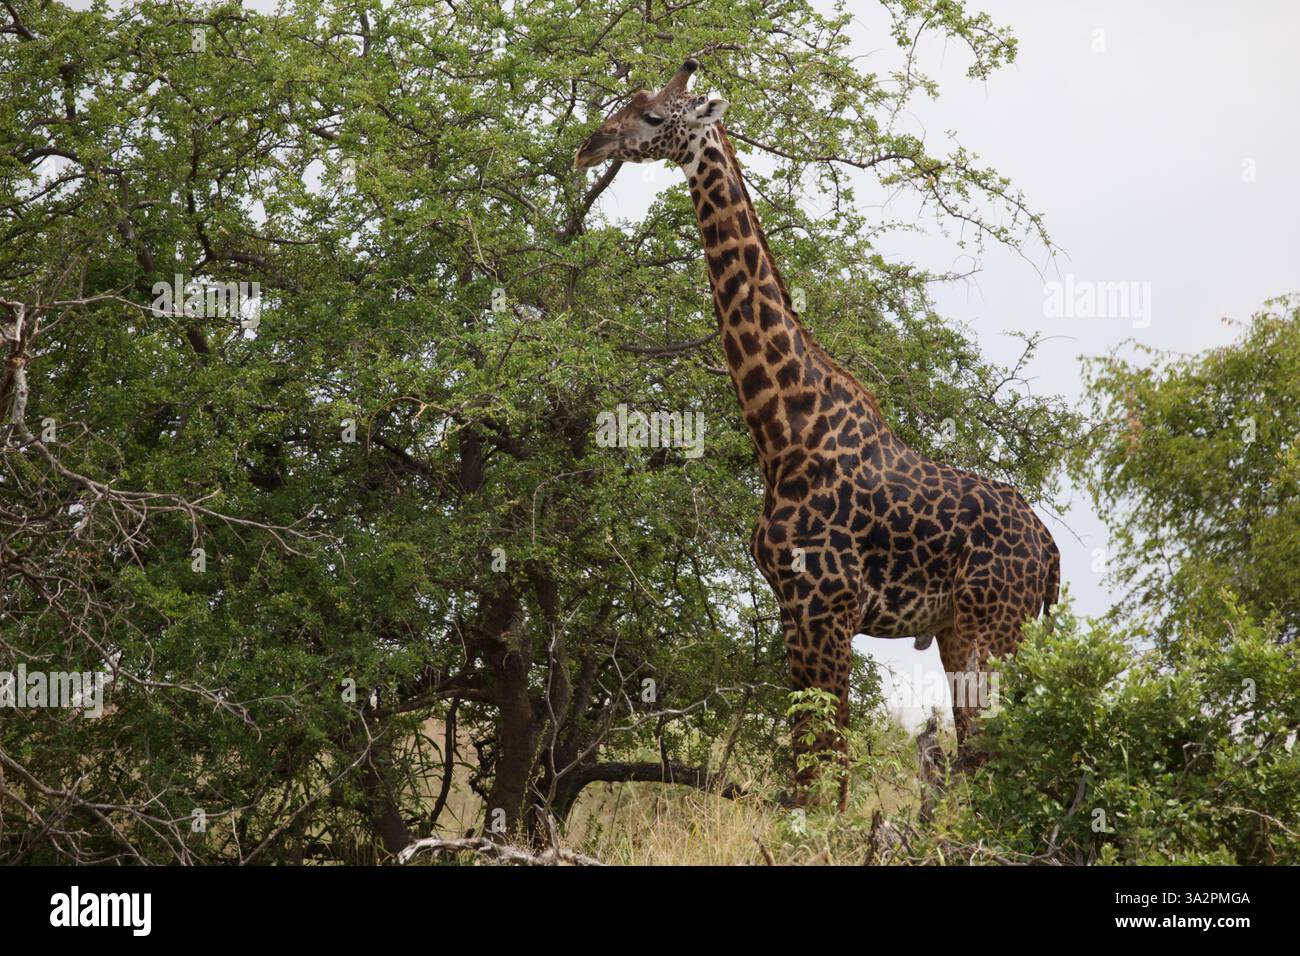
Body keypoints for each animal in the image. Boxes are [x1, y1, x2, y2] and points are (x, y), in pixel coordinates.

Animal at [575, 59, 1060, 806]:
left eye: (655, 116)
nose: (589, 145)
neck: (783, 429)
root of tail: (1048, 548)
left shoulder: (826, 608)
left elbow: (825, 768)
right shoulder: (792, 609)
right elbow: (812, 765)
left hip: (994, 626)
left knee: (990, 752)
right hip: (961, 630)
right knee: (979, 754)